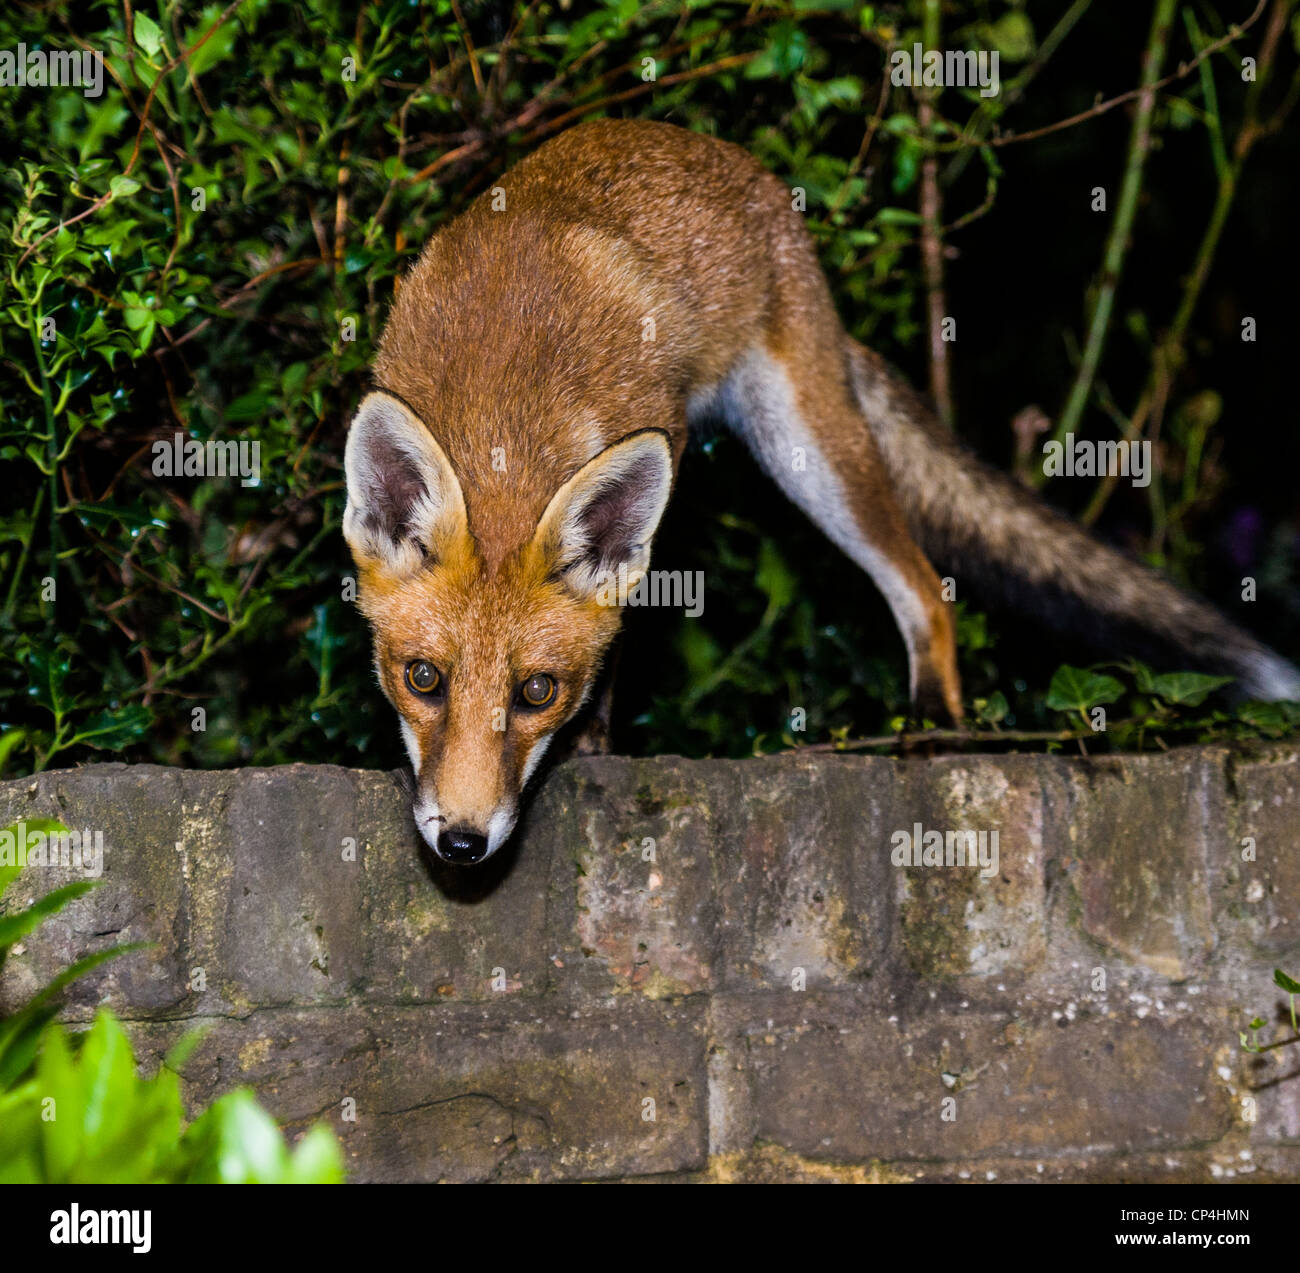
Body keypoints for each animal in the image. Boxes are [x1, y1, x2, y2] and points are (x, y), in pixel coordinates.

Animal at [343, 118, 1300, 866]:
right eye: (423, 677)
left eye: (537, 691)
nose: (464, 842)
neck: (505, 388)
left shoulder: (665, 449)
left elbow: (617, 654)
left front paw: (595, 746)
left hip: (807, 450)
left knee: (925, 584)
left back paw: (935, 727)